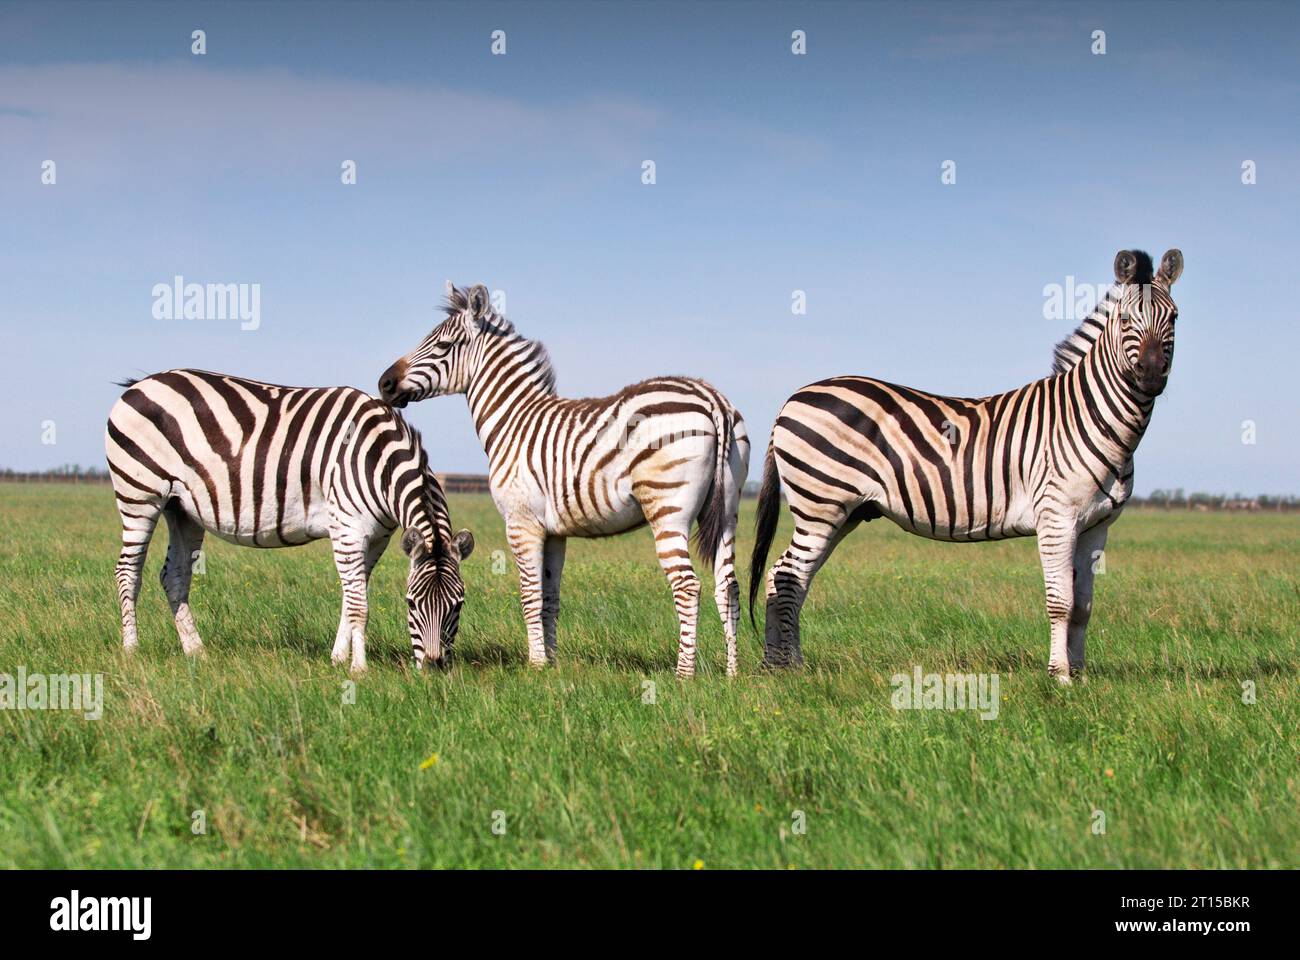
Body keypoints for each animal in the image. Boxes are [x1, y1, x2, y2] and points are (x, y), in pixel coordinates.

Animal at [105, 370, 475, 672]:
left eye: (458, 605)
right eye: (411, 603)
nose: (434, 667)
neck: (377, 461)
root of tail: (139, 384)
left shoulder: (377, 538)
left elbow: (351, 597)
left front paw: (337, 659)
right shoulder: (347, 529)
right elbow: (359, 605)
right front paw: (358, 669)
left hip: (182, 509)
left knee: (175, 576)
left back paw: (196, 652)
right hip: (139, 495)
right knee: (128, 572)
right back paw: (132, 650)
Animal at [378, 283, 750, 678]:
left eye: (443, 346)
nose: (384, 383)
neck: (513, 421)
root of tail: (711, 398)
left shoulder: (521, 523)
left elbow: (529, 595)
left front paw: (536, 664)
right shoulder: (554, 532)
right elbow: (550, 597)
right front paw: (552, 665)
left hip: (668, 509)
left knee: (688, 586)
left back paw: (683, 676)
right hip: (727, 510)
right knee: (728, 586)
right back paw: (732, 674)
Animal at [748, 248, 1183, 683]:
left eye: (1174, 318)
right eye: (1125, 319)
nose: (1150, 376)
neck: (1090, 416)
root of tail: (792, 399)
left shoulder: (1096, 526)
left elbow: (1083, 606)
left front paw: (1080, 675)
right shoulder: (1056, 518)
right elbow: (1061, 601)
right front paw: (1059, 677)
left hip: (843, 512)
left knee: (788, 575)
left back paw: (780, 664)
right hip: (821, 505)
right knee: (787, 575)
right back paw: (788, 668)